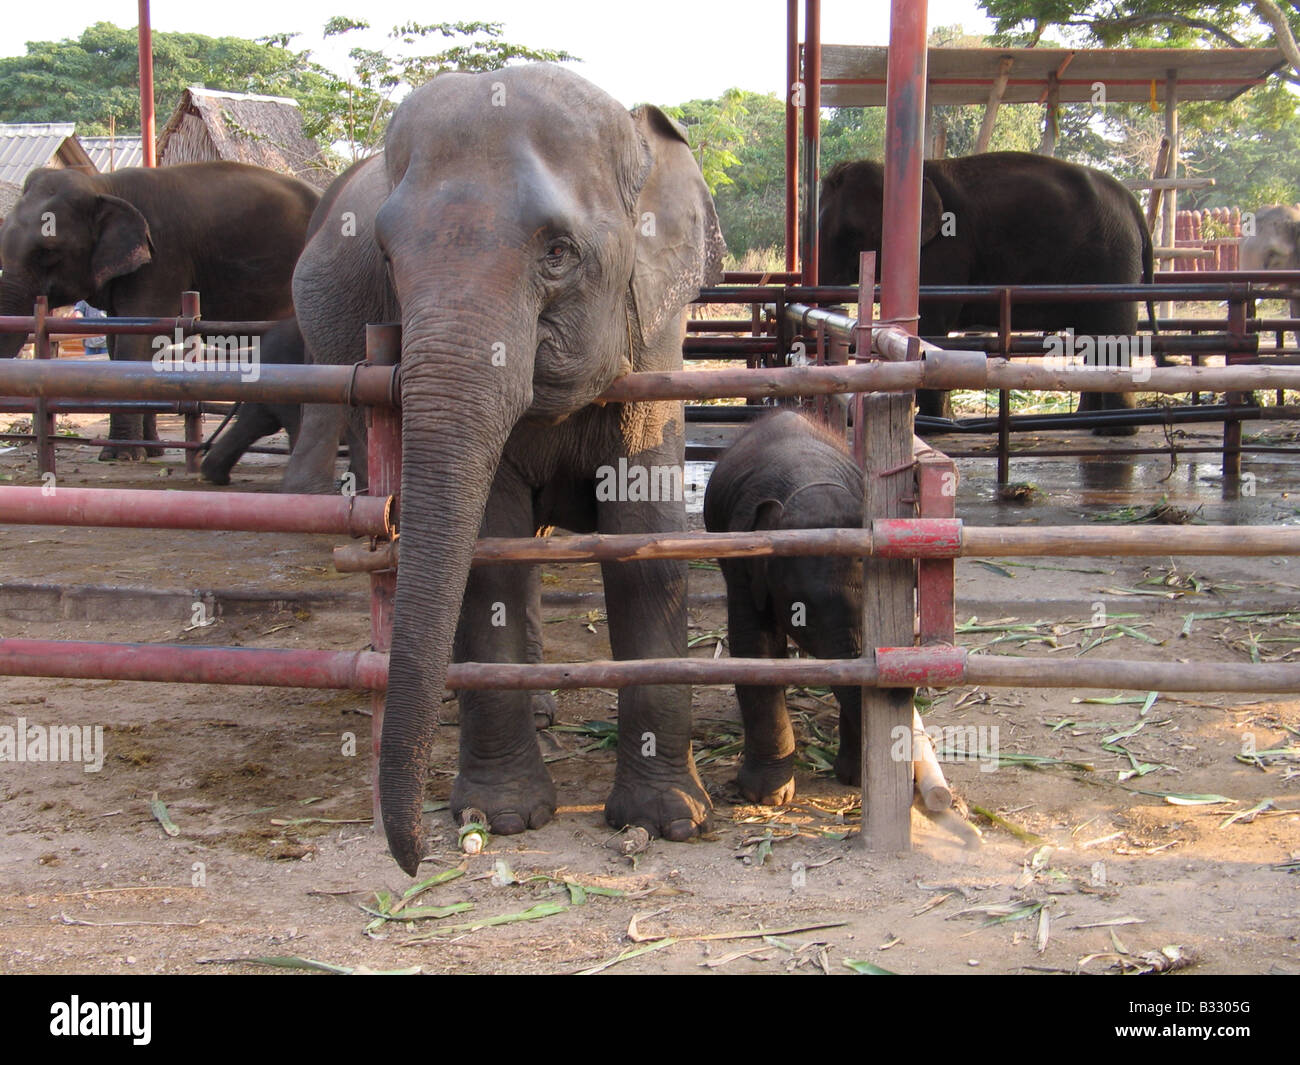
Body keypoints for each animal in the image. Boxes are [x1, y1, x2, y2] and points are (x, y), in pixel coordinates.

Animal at [0, 162, 319, 459]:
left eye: (48, 252)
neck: (103, 185)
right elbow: (123, 339)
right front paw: (150, 451)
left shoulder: (163, 258)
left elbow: (135, 342)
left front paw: (121, 456)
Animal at [286, 64, 726, 874]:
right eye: (386, 258)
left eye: (558, 252)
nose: (413, 860)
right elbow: (486, 546)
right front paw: (505, 818)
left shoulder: (655, 343)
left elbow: (644, 537)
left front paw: (670, 822)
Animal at [818, 151, 1158, 434]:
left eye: (849, 234)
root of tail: (1133, 206)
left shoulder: (945, 248)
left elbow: (931, 322)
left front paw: (931, 427)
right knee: (1093, 339)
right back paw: (1088, 423)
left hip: (1112, 263)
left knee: (1111, 334)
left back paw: (1114, 430)